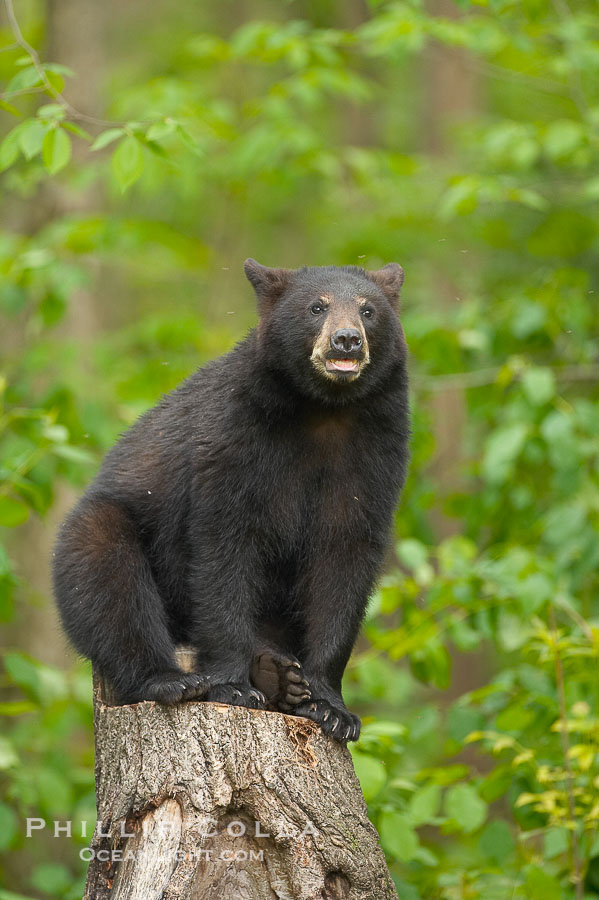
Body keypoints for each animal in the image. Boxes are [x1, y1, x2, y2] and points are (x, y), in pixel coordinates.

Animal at [53, 259, 410, 743]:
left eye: (368, 310)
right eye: (316, 307)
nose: (347, 339)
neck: (323, 412)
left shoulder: (373, 456)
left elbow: (345, 563)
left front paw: (332, 708)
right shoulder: (234, 440)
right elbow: (223, 551)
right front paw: (234, 687)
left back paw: (279, 673)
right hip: (100, 531)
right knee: (109, 585)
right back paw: (175, 680)